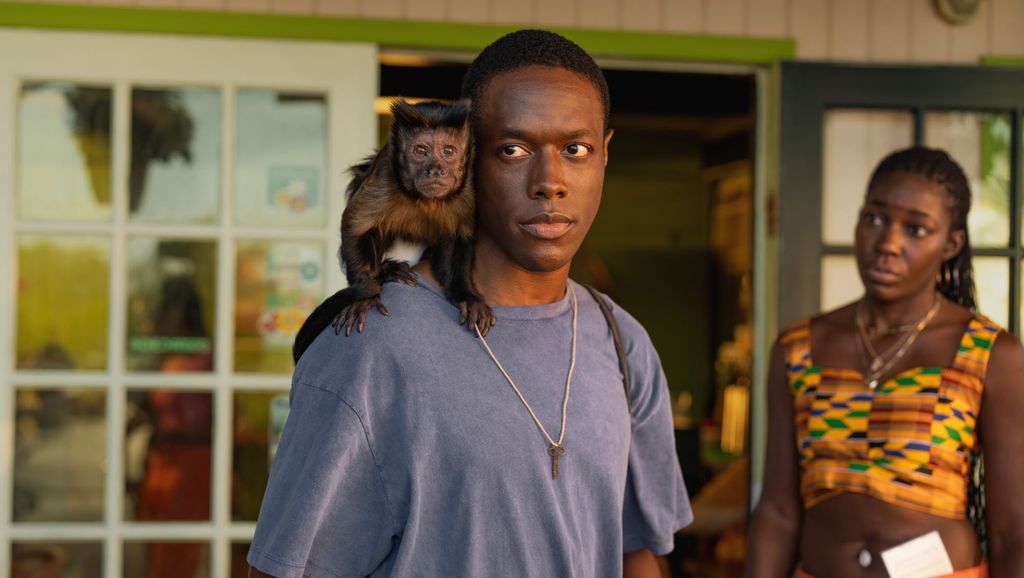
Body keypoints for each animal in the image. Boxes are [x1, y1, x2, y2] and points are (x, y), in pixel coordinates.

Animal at [291, 99, 494, 363]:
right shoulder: (385, 172)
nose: (435, 169)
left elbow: (459, 235)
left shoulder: (468, 184)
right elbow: (355, 226)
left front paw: (465, 295)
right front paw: (365, 295)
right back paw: (387, 271)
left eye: (448, 151)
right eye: (421, 151)